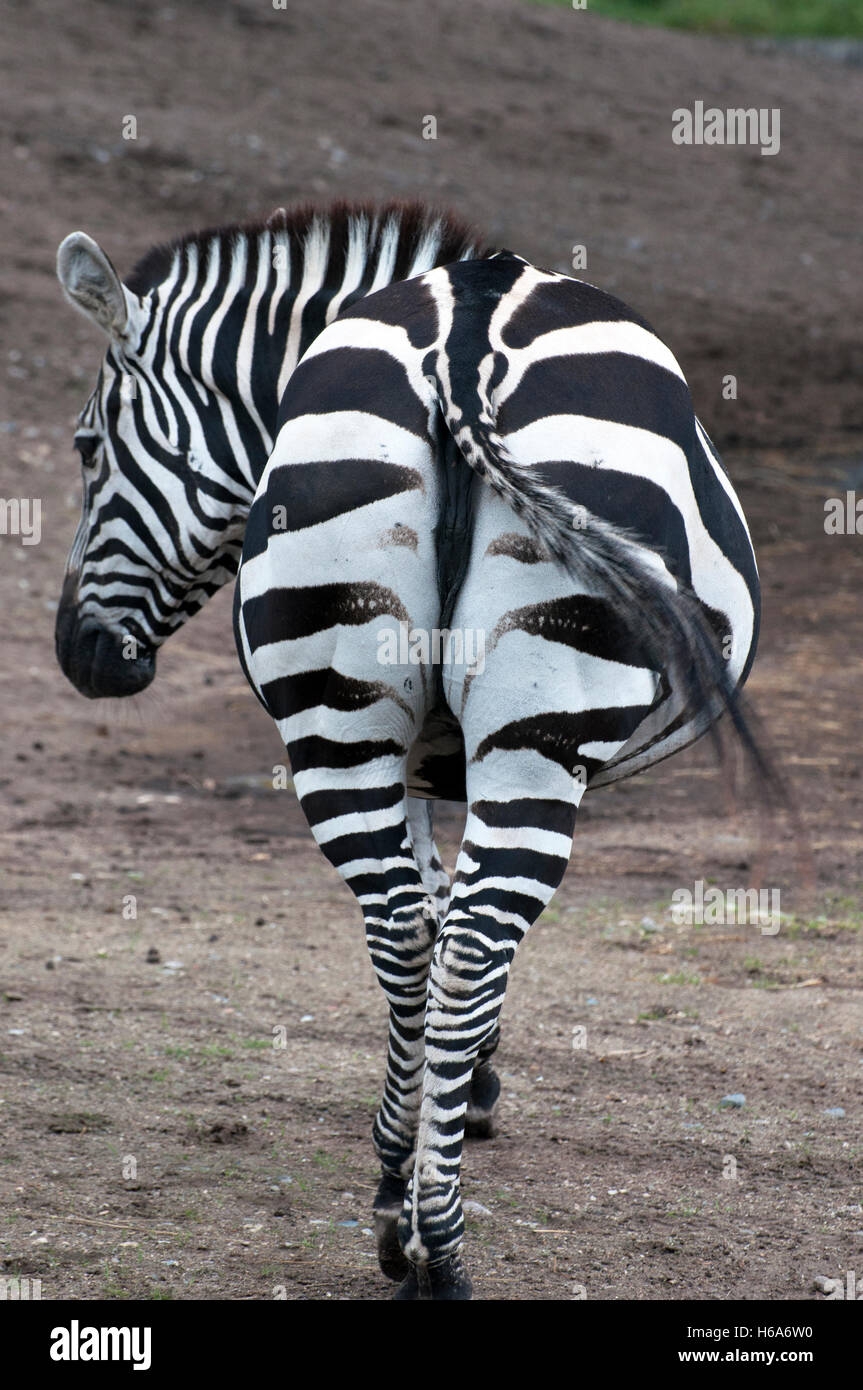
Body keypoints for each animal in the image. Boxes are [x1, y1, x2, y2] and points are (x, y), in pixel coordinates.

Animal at [233, 249, 770, 1300]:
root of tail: (464, 333)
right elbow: (464, 925)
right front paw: (475, 1085)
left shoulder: (412, 763)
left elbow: (430, 905)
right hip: (542, 725)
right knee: (475, 939)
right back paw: (438, 1245)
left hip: (336, 713)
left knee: (404, 932)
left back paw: (392, 1204)